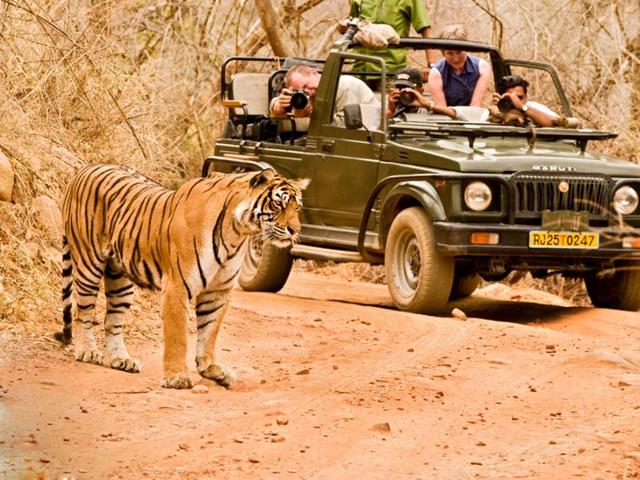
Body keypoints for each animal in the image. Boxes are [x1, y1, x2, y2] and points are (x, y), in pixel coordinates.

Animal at [54, 164, 309, 389]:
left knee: (112, 320)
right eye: (278, 203)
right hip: (88, 264)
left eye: (297, 208)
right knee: (83, 312)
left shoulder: (217, 291)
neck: (236, 232)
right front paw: (176, 377)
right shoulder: (177, 286)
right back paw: (87, 351)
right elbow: (178, 337)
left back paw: (122, 360)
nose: (295, 231)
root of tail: (83, 170)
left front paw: (211, 369)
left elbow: (209, 333)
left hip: (120, 278)